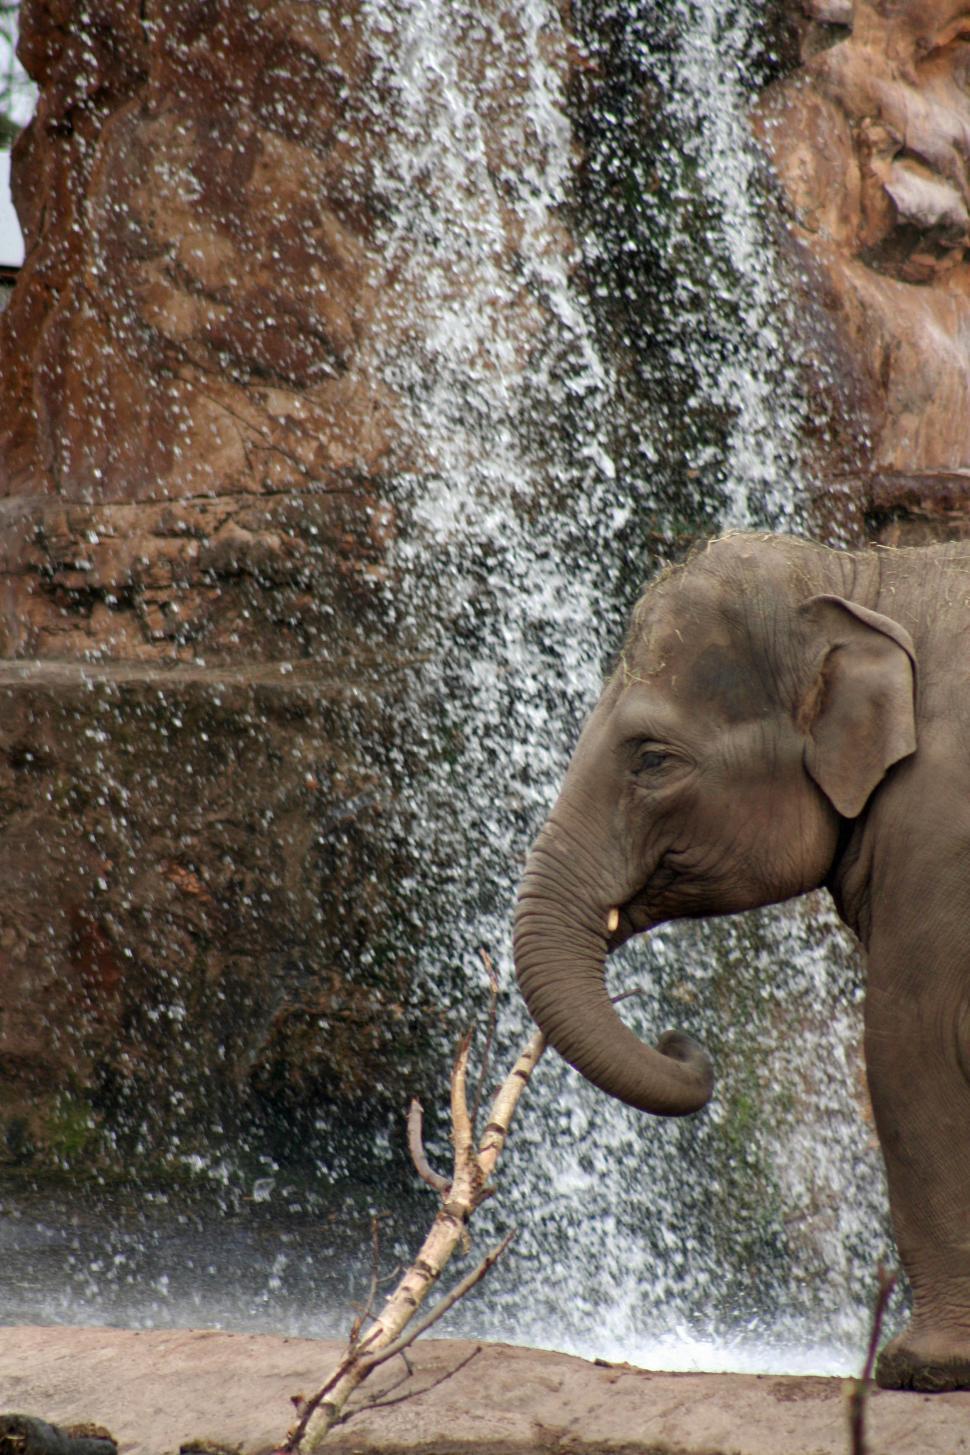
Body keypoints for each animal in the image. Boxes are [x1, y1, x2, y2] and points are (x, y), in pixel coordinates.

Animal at [513, 531, 970, 1392]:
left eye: (652, 760)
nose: (681, 1039)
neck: (867, 579)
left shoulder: (943, 828)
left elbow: (910, 1043)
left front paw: (921, 1367)